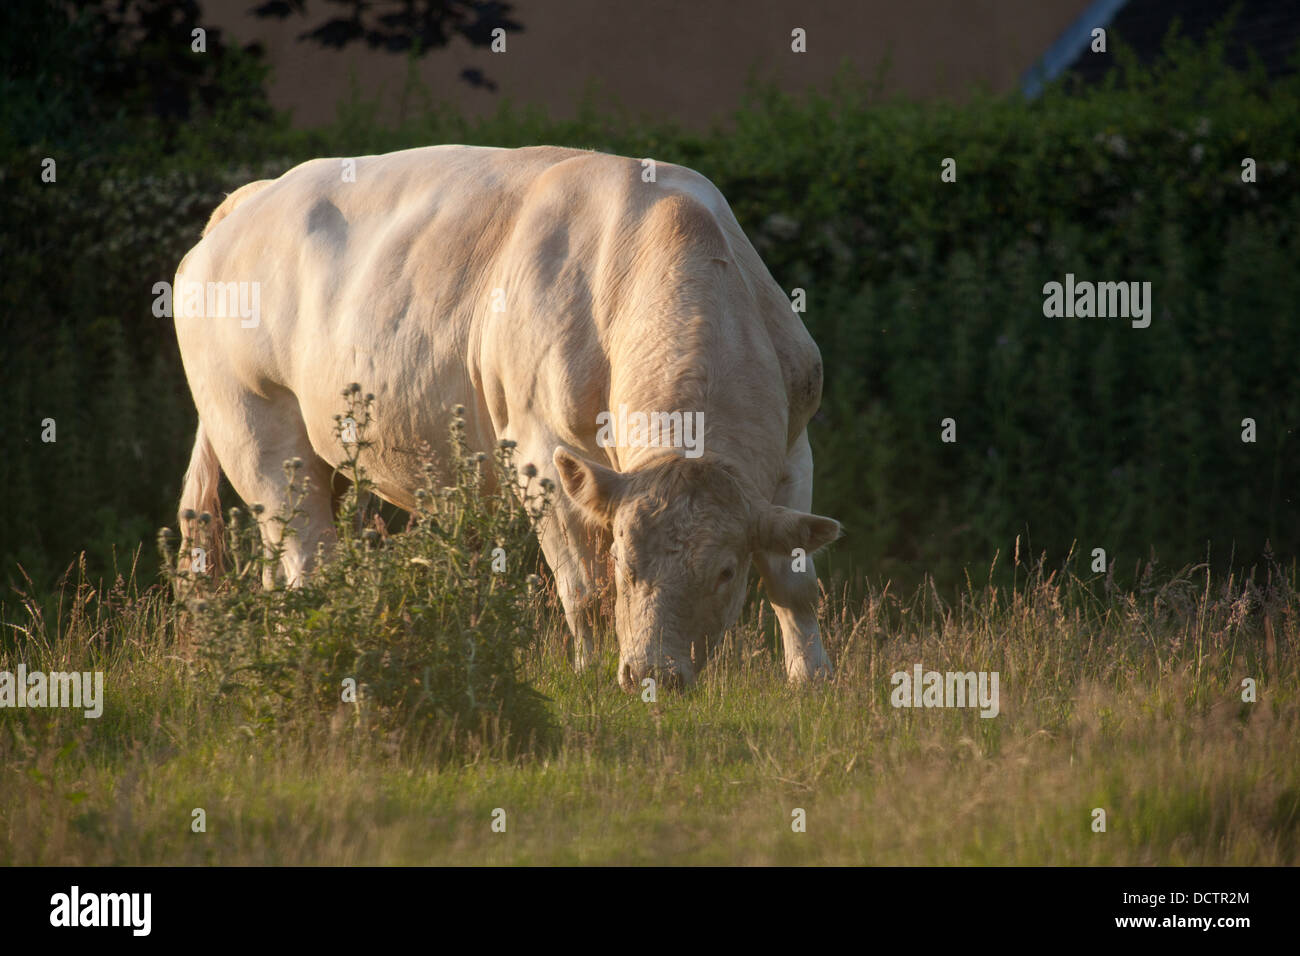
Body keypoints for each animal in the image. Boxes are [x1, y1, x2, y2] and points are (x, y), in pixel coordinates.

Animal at [173, 145, 841, 691]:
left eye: (726, 572)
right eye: (627, 562)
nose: (655, 675)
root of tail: (250, 199)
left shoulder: (793, 447)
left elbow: (794, 579)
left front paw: (812, 678)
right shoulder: (542, 450)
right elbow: (584, 589)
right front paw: (589, 674)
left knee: (282, 564)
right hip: (252, 426)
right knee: (309, 560)